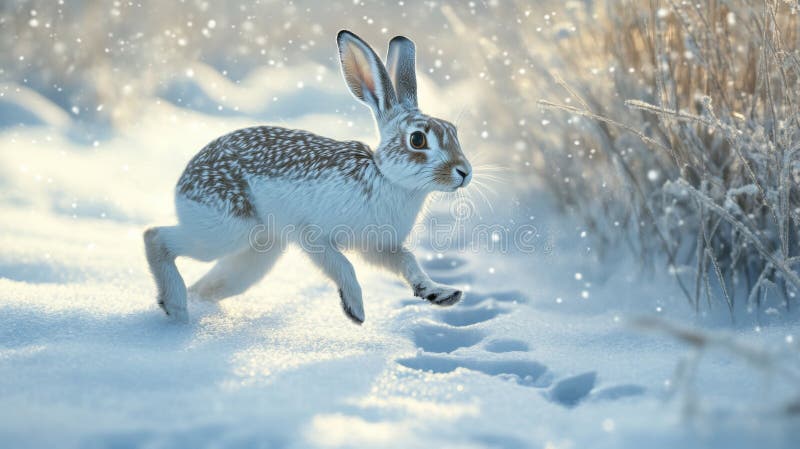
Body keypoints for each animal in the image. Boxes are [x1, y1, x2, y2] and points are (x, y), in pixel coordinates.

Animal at [144, 30, 472, 324]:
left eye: (454, 131)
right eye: (417, 140)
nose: (464, 172)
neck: (388, 179)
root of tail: (184, 180)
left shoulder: (378, 247)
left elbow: (407, 261)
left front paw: (439, 293)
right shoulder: (313, 234)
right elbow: (343, 265)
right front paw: (355, 309)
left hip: (258, 250)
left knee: (215, 282)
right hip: (223, 228)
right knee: (156, 236)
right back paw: (176, 307)